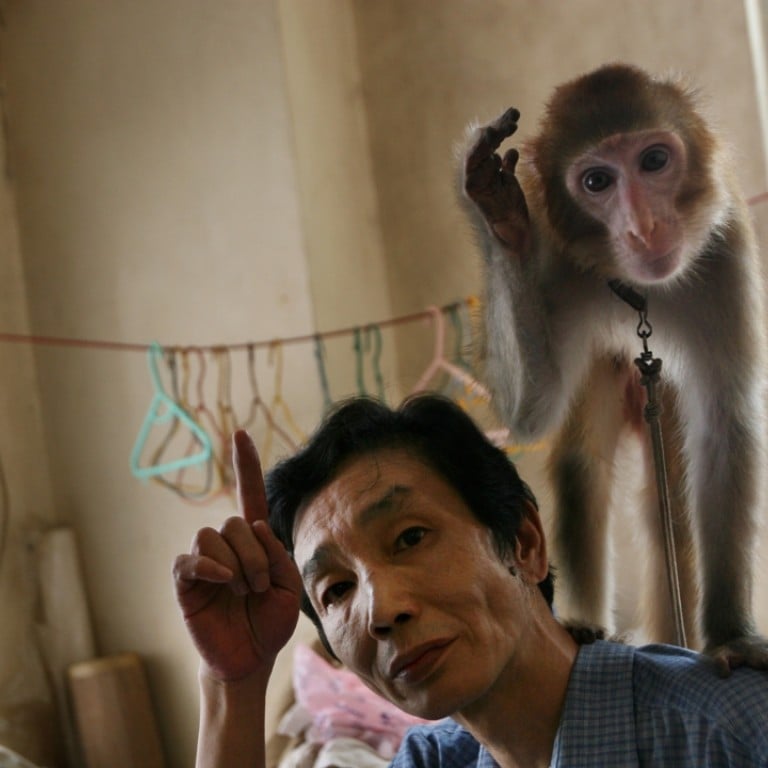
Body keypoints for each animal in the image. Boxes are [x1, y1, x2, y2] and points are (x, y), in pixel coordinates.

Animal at [459, 62, 768, 672]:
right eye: (597, 182)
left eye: (654, 161)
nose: (644, 228)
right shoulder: (554, 263)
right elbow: (530, 414)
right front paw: (496, 210)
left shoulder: (724, 252)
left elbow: (725, 422)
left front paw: (732, 637)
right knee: (584, 462)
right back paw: (584, 622)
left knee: (668, 503)